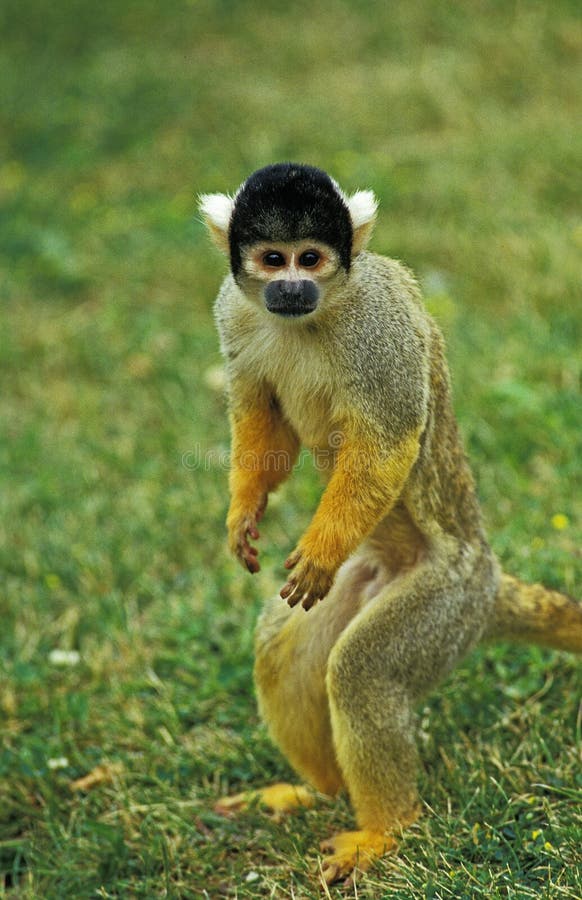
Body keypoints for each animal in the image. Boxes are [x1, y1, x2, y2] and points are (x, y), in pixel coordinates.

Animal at [199, 163, 582, 885]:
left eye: (311, 259)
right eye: (273, 260)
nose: (291, 287)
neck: (318, 313)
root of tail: (489, 580)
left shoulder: (379, 326)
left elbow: (389, 439)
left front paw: (319, 547)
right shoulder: (232, 308)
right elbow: (263, 426)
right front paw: (243, 512)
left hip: (446, 605)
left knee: (362, 673)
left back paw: (385, 830)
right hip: (365, 580)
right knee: (282, 649)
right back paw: (321, 791)